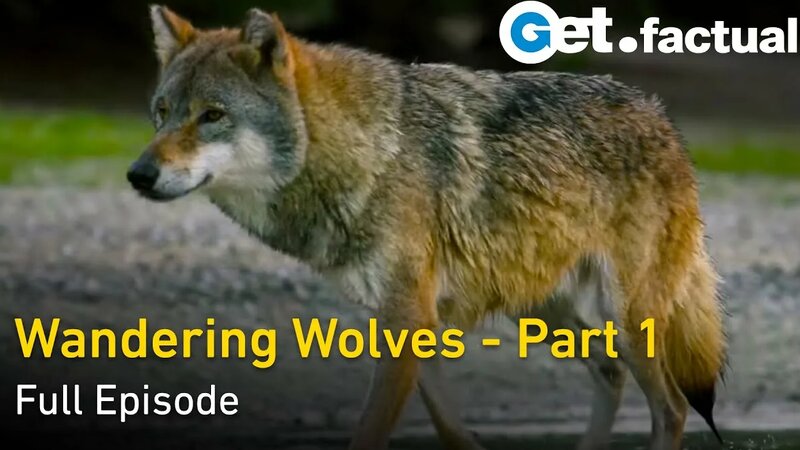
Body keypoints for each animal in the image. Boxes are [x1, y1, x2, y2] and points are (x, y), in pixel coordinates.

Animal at [127, 6, 726, 450]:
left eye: (212, 116)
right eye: (162, 111)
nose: (138, 174)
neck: (365, 151)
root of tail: (663, 120)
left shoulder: (407, 315)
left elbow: (372, 432)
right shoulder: (412, 322)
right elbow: (450, 428)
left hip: (624, 319)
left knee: (671, 407)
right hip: (548, 314)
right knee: (611, 376)